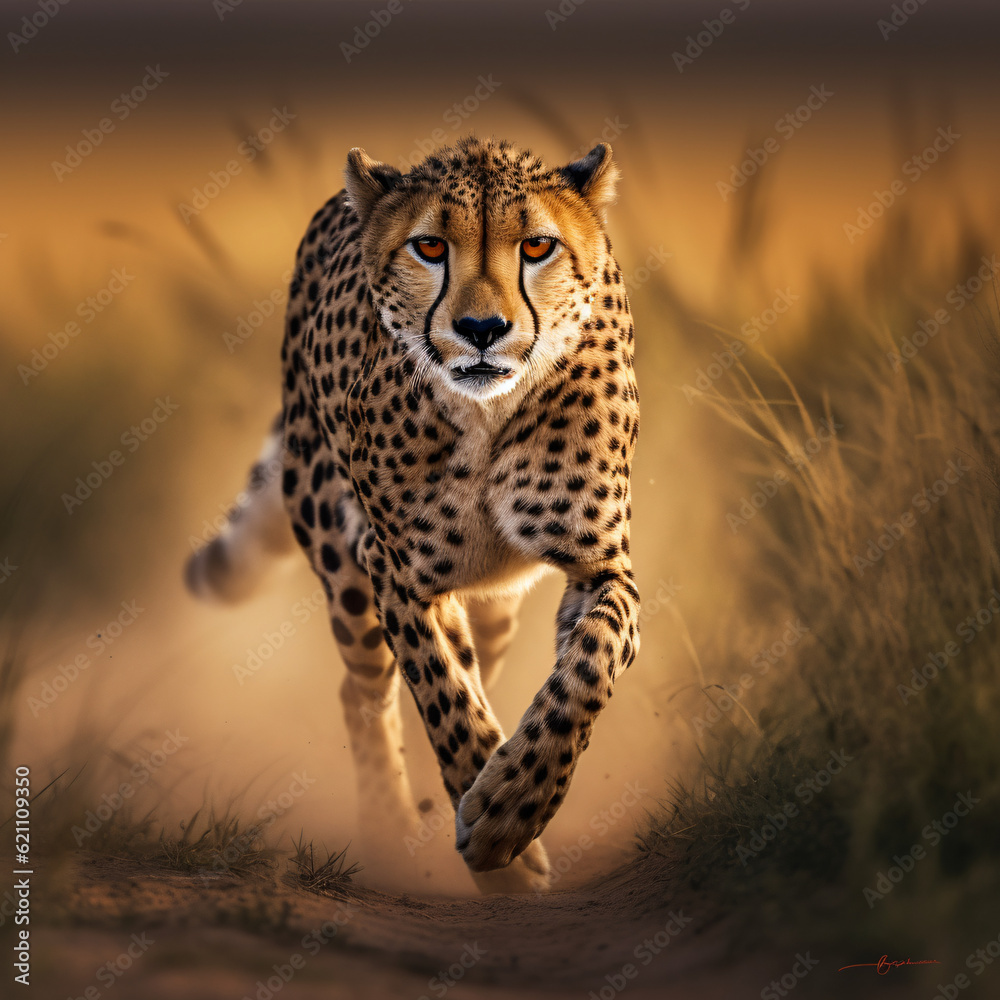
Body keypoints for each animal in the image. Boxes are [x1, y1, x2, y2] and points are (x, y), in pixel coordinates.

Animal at [185, 136, 640, 894]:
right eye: (429, 247)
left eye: (537, 246)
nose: (482, 329)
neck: (487, 414)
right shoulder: (396, 570)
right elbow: (443, 695)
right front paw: (502, 848)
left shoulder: (601, 564)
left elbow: (587, 670)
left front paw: (509, 808)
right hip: (341, 562)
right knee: (363, 690)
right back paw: (390, 831)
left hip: (493, 603)